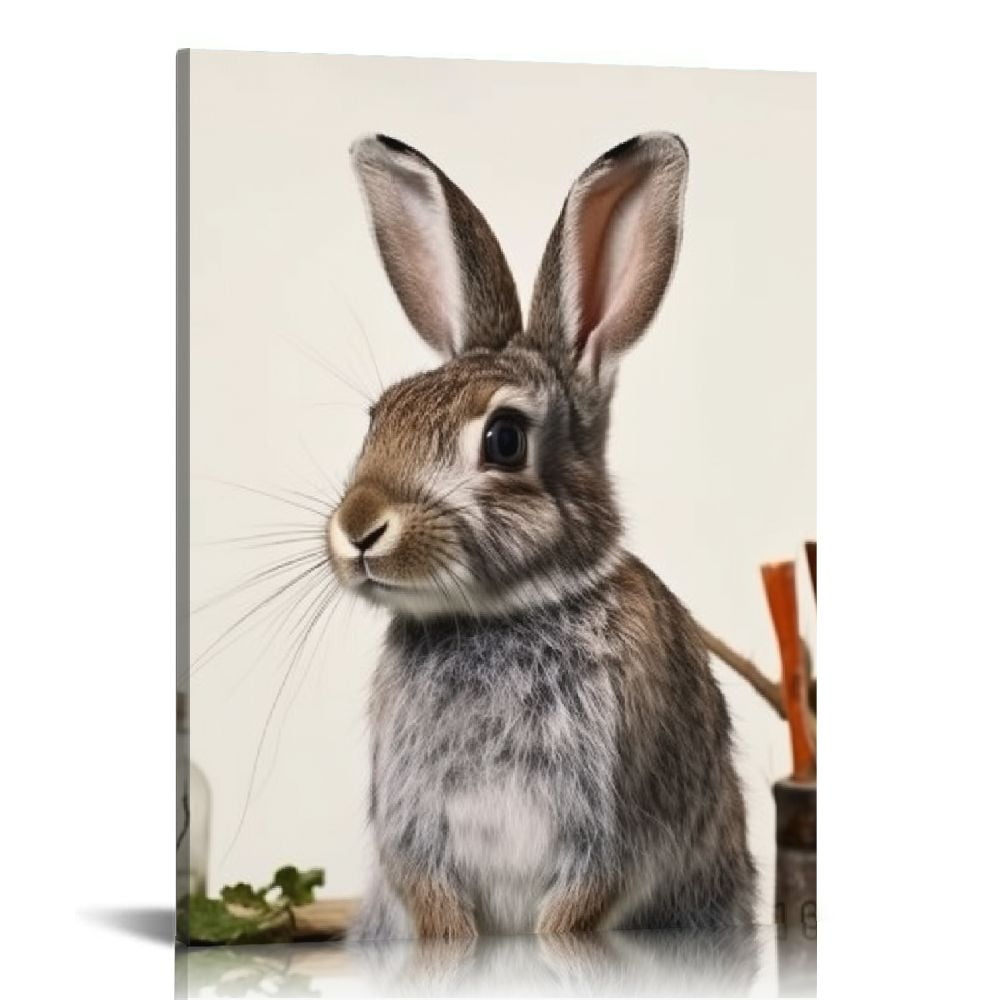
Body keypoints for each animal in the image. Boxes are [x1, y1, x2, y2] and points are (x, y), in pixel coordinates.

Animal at [327, 131, 757, 940]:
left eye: (504, 440)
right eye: (377, 418)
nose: (358, 530)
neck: (498, 616)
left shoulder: (615, 825)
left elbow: (575, 913)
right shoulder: (413, 832)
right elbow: (439, 911)